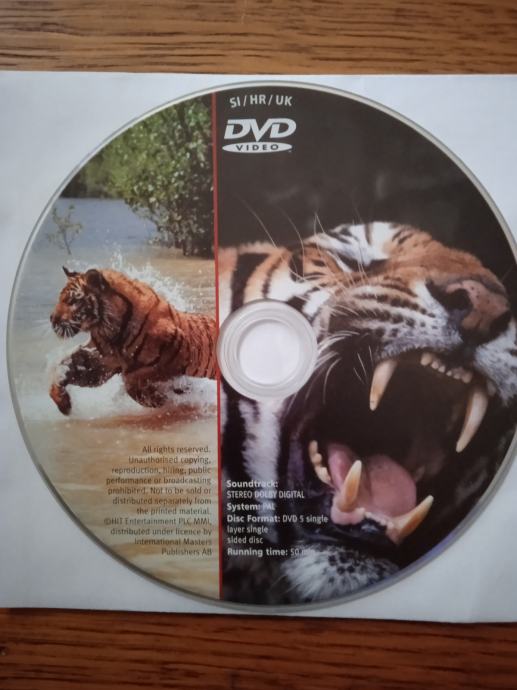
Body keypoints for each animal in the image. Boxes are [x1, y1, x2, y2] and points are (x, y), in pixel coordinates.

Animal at [49, 267, 216, 415]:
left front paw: (163, 399)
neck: (111, 333)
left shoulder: (173, 358)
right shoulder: (101, 360)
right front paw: (63, 402)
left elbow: (132, 381)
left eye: (72, 301)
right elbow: (63, 367)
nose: (52, 319)